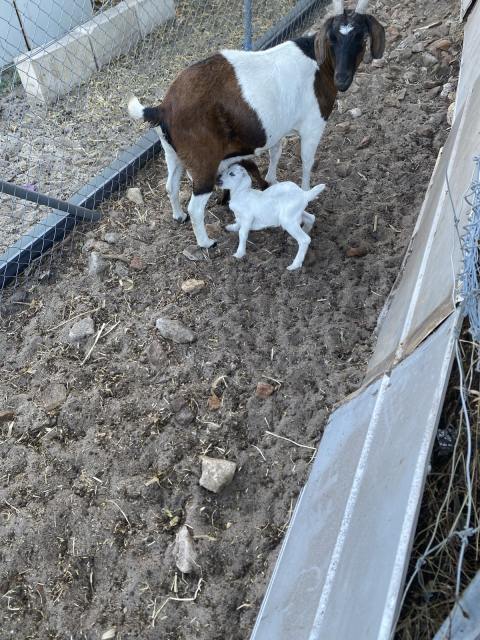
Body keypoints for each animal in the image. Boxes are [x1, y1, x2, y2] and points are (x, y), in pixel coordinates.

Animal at [128, 0, 385, 249]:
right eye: (332, 38)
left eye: (361, 37)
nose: (342, 80)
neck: (318, 63)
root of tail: (163, 108)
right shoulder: (313, 125)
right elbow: (306, 162)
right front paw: (305, 193)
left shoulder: (277, 128)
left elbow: (276, 151)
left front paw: (271, 180)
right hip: (203, 161)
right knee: (196, 206)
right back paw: (206, 242)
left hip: (171, 151)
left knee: (170, 185)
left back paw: (178, 216)